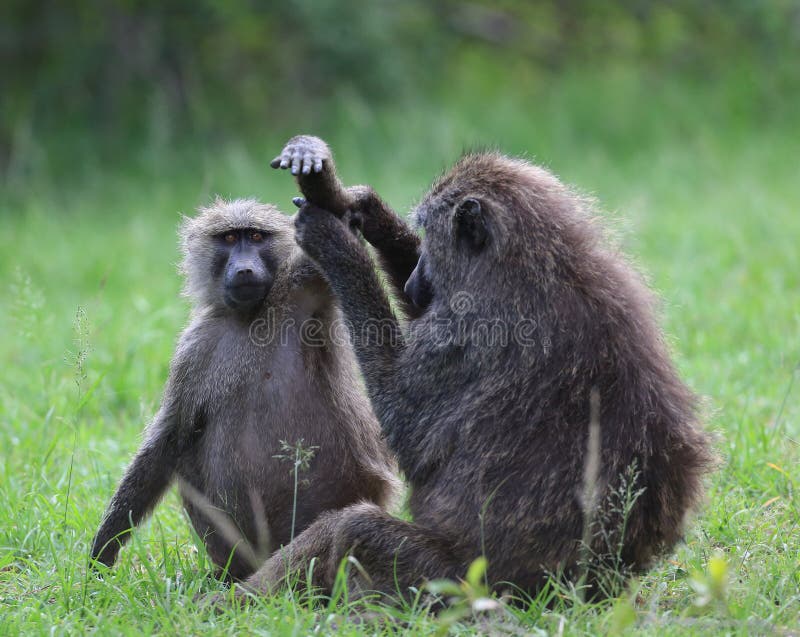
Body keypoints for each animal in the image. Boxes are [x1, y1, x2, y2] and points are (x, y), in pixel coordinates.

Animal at [90, 197, 399, 581]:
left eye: (254, 236)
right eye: (228, 238)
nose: (244, 270)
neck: (249, 316)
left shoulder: (301, 289)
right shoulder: (195, 347)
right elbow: (169, 438)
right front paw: (103, 551)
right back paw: (227, 575)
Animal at [219, 136, 714, 604]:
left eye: (435, 245)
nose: (416, 283)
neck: (533, 263)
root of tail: (594, 589)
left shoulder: (465, 329)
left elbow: (412, 437)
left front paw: (337, 244)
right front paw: (364, 207)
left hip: (452, 584)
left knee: (351, 529)